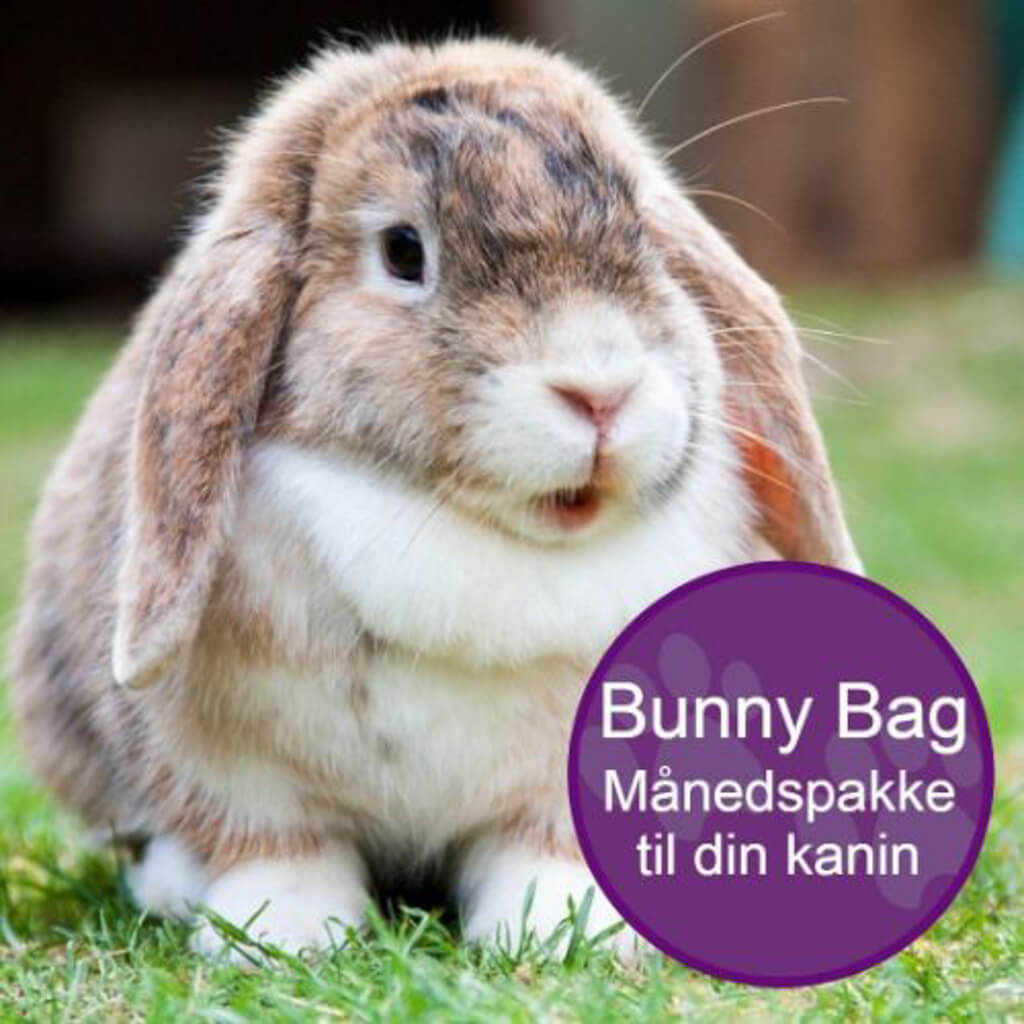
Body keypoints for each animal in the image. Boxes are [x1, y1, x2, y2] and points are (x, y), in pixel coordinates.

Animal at [9, 37, 860, 962]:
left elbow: (545, 851)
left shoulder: (571, 778)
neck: (476, 535)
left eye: (642, 230)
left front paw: (565, 931)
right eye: (403, 252)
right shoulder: (234, 773)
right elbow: (277, 848)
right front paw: (283, 934)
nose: (600, 391)